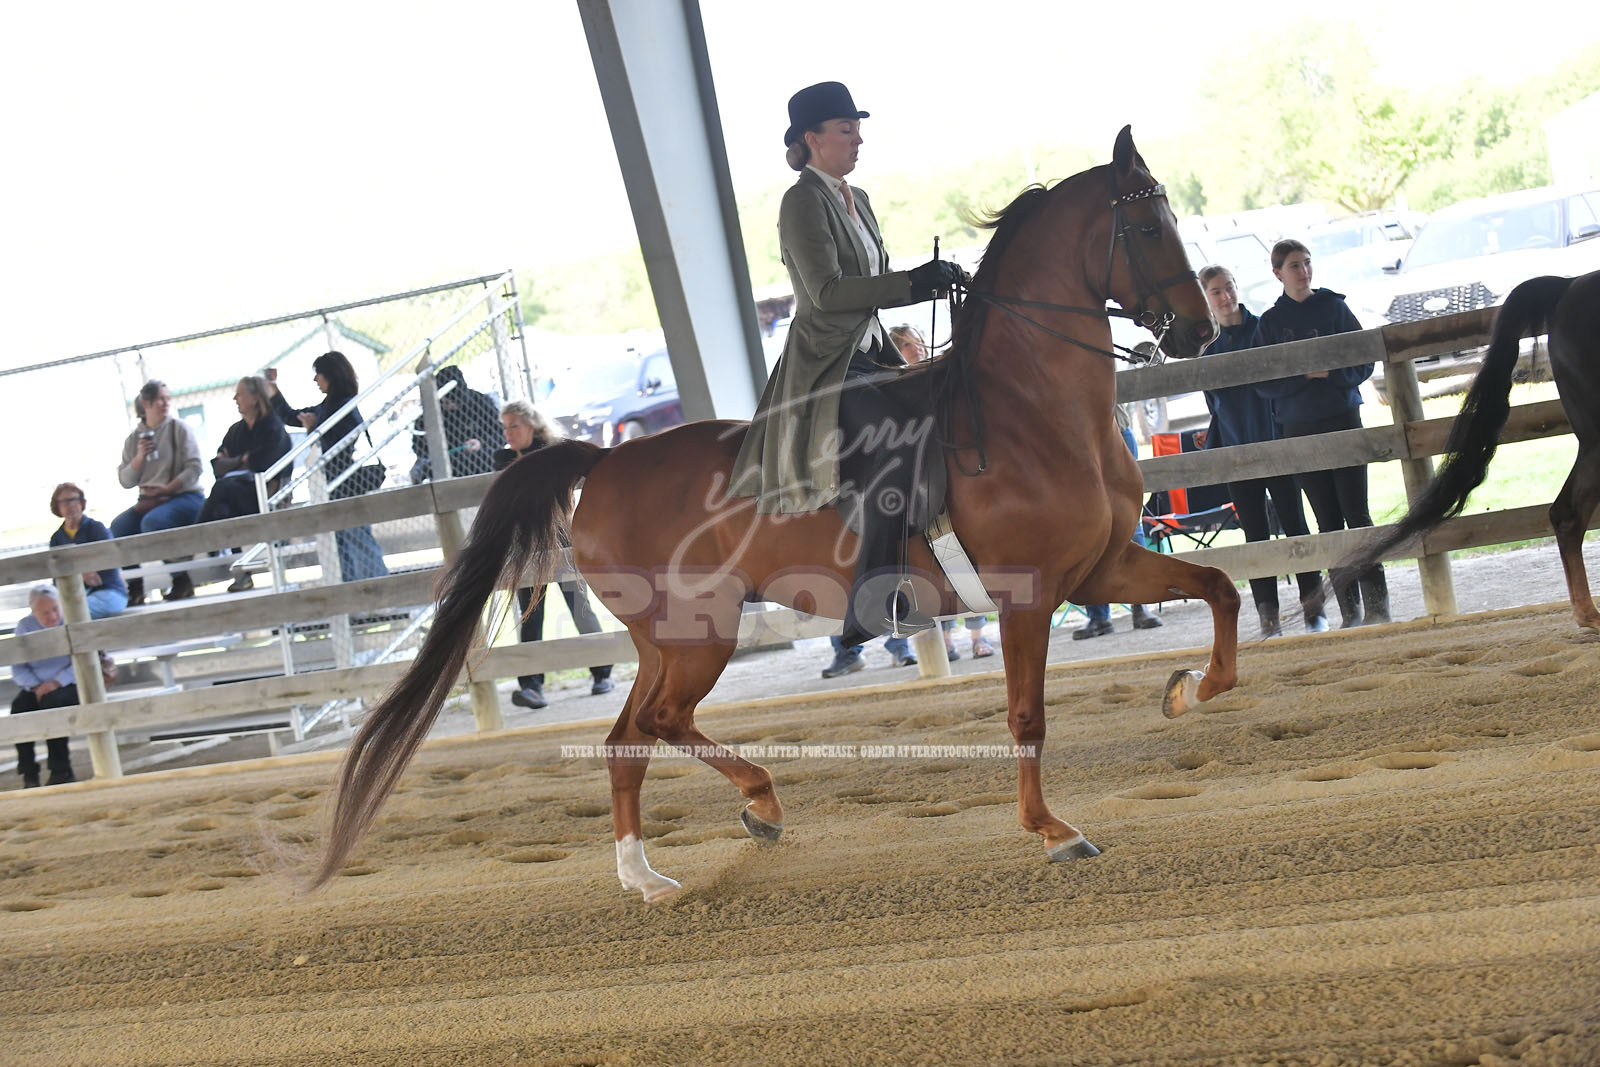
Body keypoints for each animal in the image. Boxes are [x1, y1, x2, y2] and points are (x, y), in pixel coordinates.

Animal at [308, 127, 1239, 901]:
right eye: (1146, 227)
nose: (1198, 331)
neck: (1033, 410)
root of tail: (605, 457)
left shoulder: (1105, 564)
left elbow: (1218, 586)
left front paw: (1189, 691)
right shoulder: (1032, 593)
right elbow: (1027, 714)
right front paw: (1053, 829)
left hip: (666, 638)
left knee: (627, 738)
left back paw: (648, 874)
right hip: (700, 632)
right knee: (659, 722)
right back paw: (757, 805)